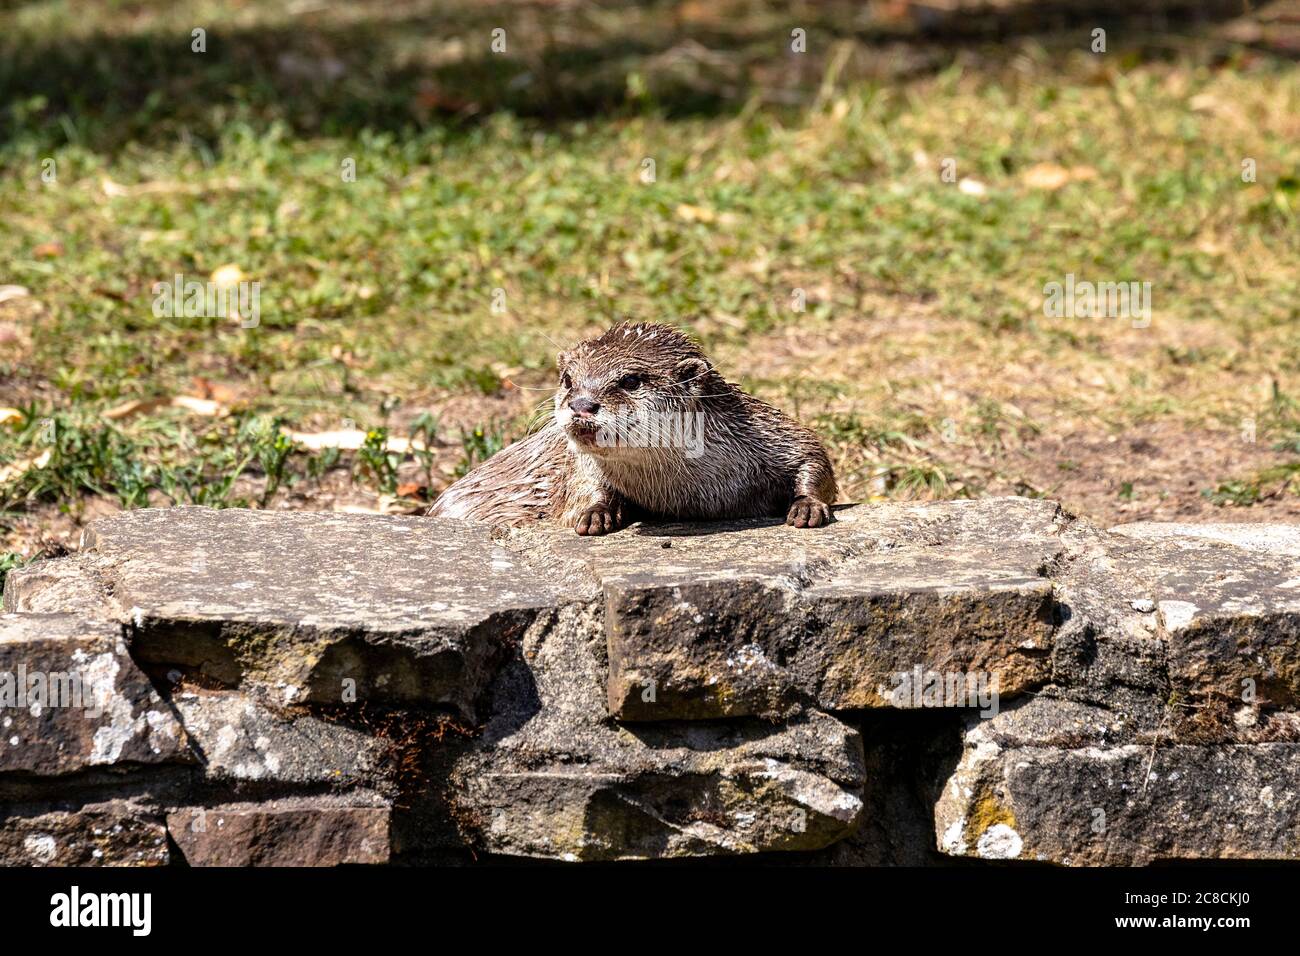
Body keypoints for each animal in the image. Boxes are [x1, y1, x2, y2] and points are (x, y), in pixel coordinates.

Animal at [428, 322, 837, 535]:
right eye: (567, 379)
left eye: (630, 381)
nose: (581, 404)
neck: (691, 490)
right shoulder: (578, 469)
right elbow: (581, 492)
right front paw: (595, 513)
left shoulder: (769, 430)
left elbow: (813, 454)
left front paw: (806, 507)